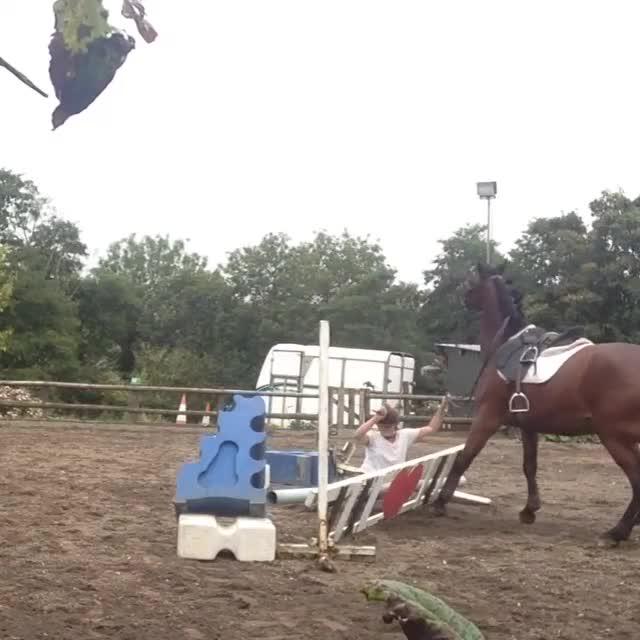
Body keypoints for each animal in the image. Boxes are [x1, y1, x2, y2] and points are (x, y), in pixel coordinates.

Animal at [431, 262, 640, 547]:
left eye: (472, 282)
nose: (464, 298)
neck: (504, 346)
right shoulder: (528, 426)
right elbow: (529, 466)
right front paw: (529, 510)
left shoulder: (487, 418)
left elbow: (465, 456)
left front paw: (440, 502)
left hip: (615, 437)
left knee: (637, 481)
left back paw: (617, 532)